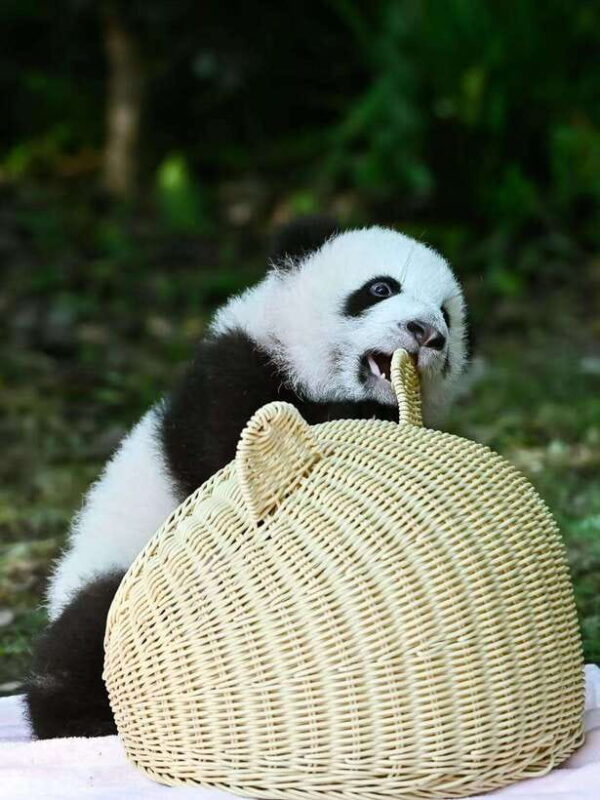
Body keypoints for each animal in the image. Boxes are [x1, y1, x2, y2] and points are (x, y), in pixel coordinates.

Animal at [25, 216, 469, 738]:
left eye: (448, 316)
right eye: (381, 288)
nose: (427, 332)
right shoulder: (232, 376)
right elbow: (230, 465)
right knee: (92, 635)